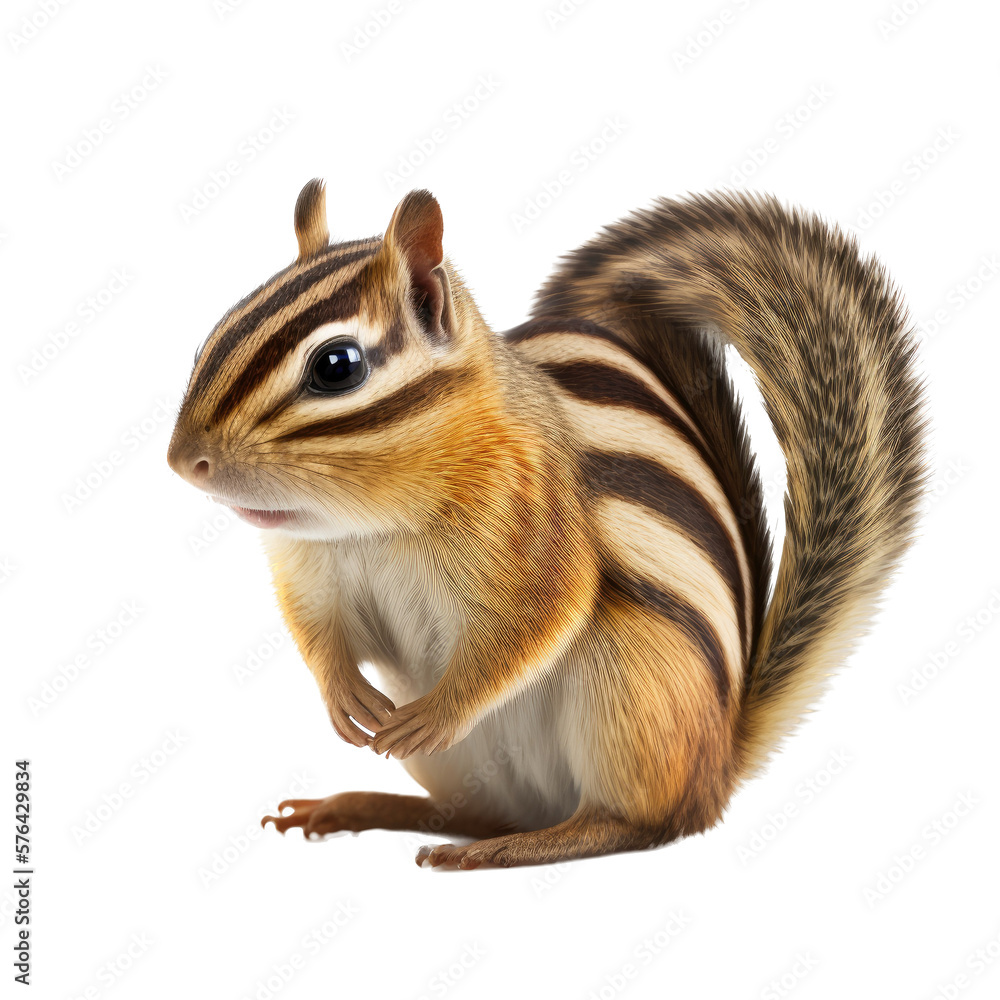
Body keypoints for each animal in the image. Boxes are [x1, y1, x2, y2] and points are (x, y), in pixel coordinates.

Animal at [167, 179, 927, 869]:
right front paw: (343, 698)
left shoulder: (539, 527)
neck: (372, 524)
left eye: (336, 365)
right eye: (211, 337)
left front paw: (439, 712)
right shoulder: (309, 568)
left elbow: (540, 617)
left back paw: (515, 847)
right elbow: (317, 631)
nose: (182, 461)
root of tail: (719, 757)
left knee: (639, 824)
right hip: (476, 764)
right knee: (471, 813)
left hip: (629, 701)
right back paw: (364, 807)